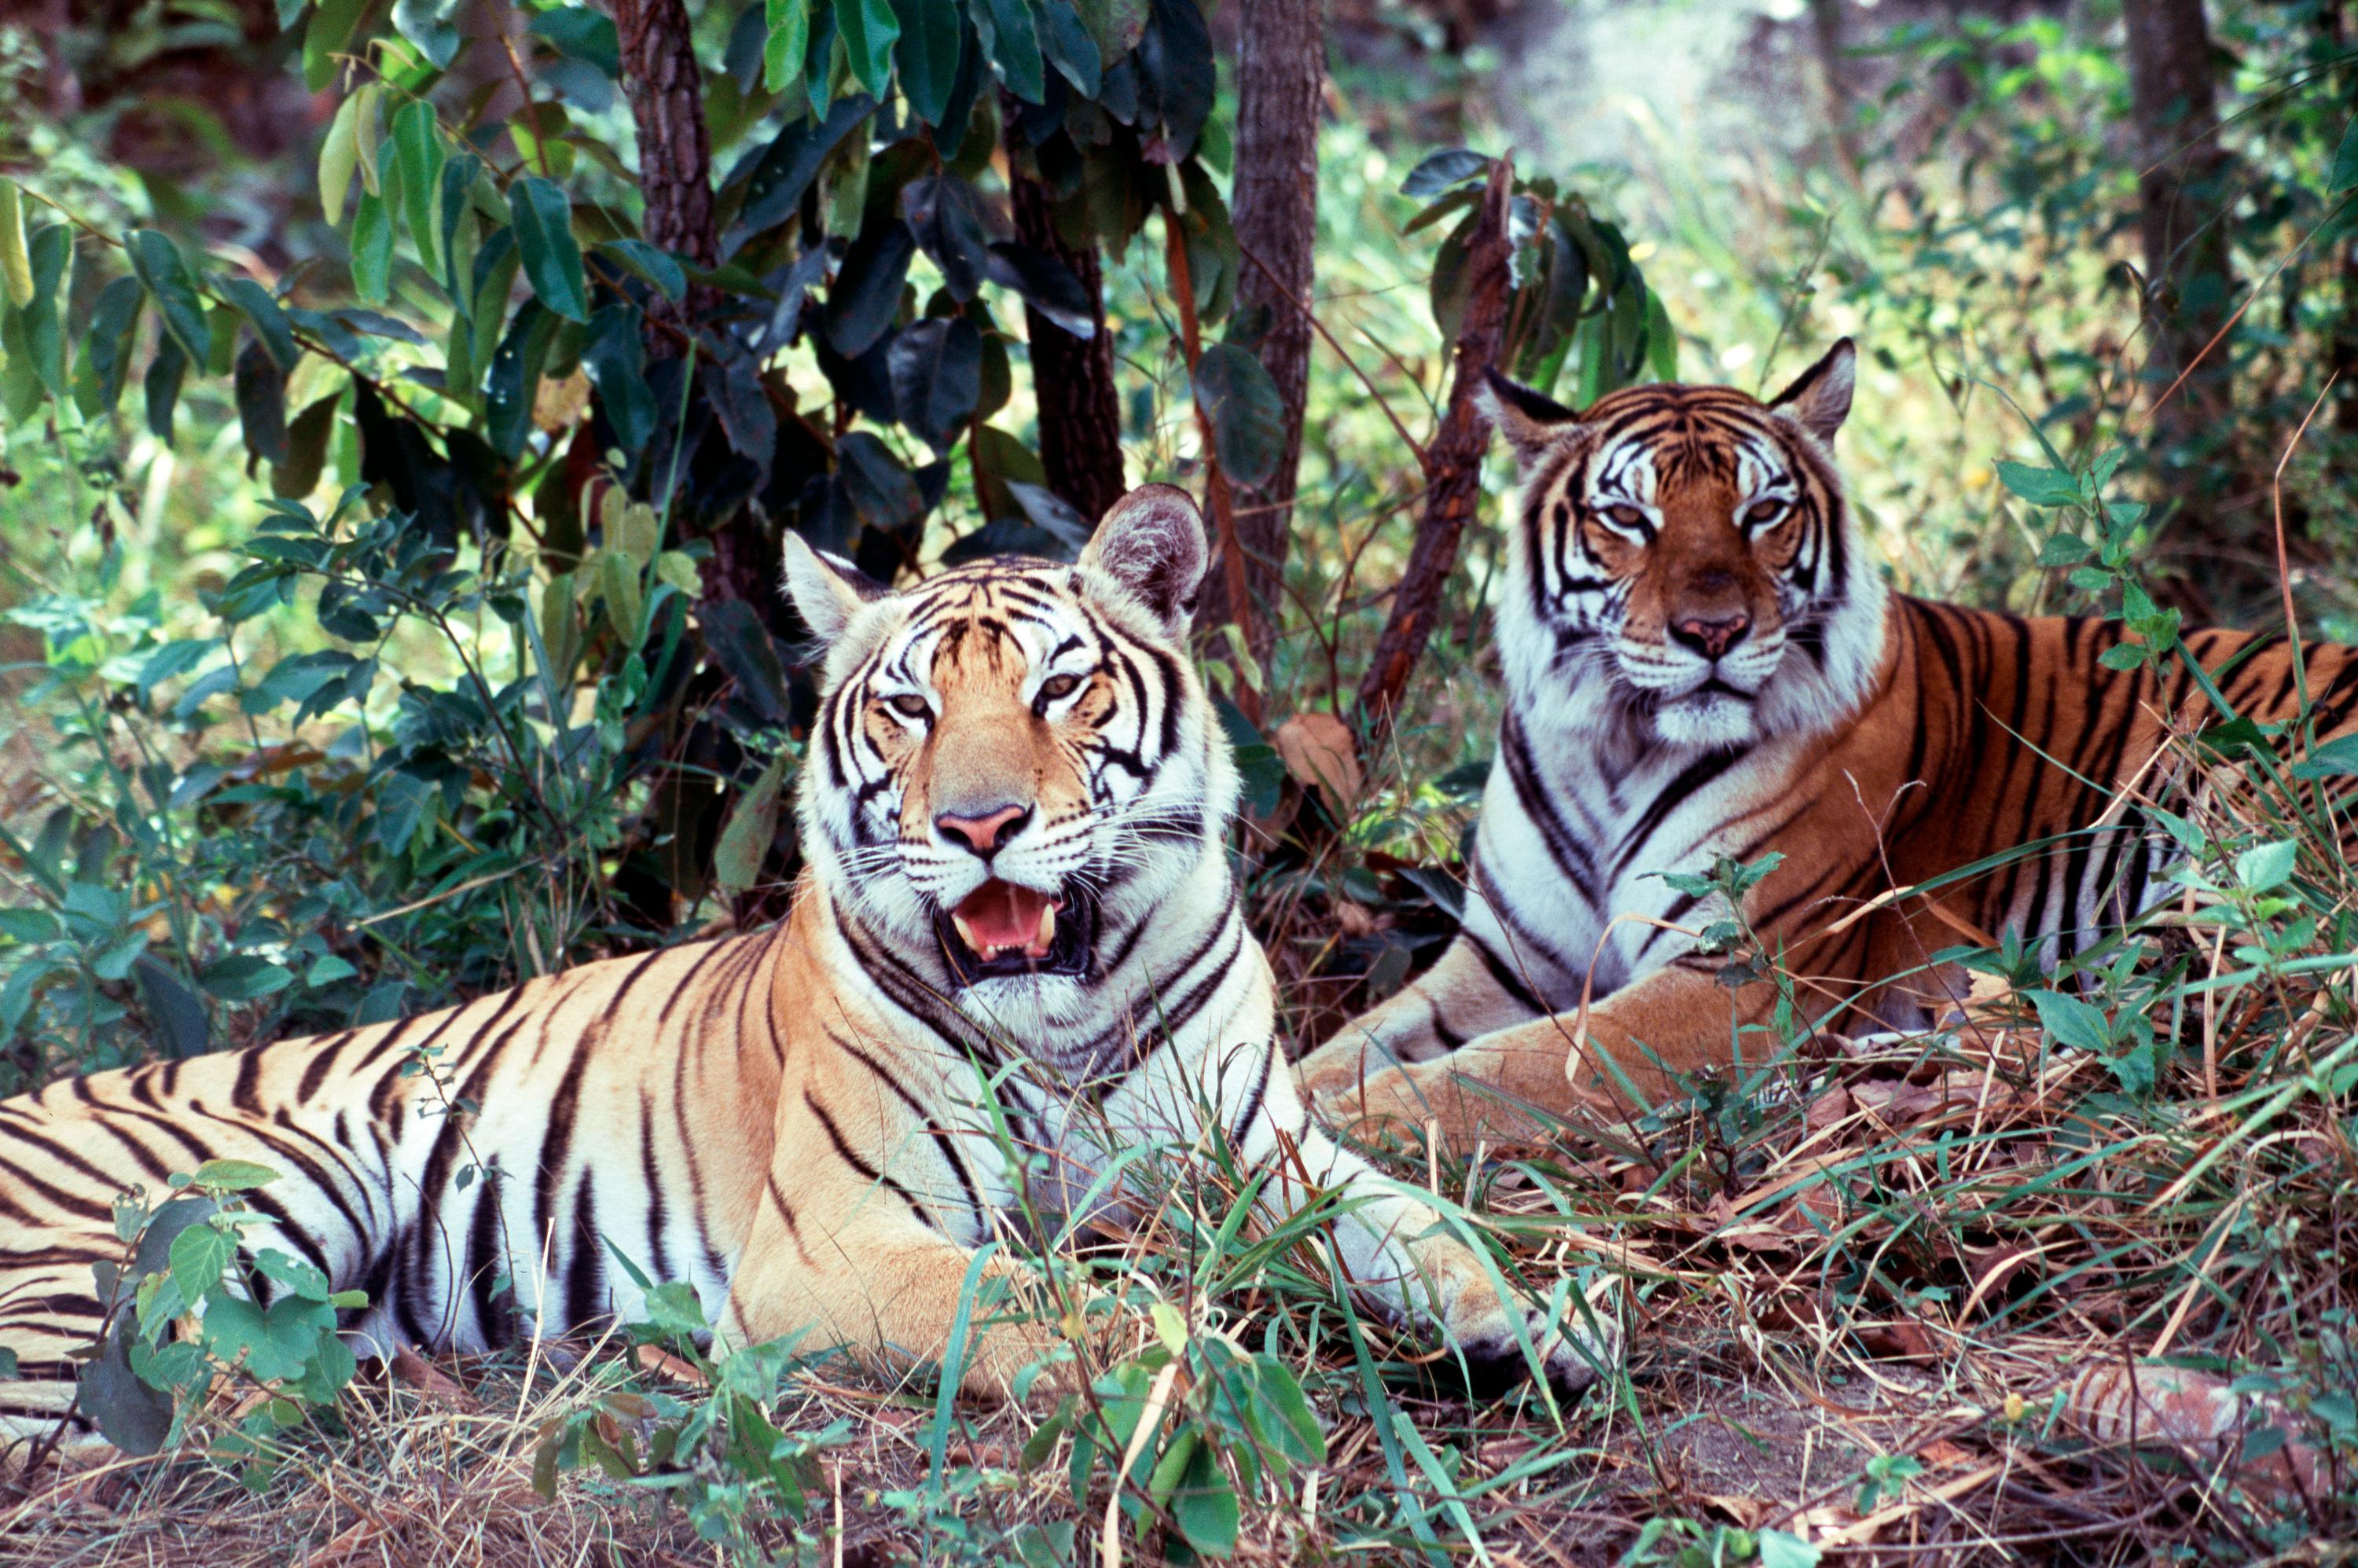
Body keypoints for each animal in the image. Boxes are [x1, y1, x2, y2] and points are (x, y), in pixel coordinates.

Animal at [0, 484, 1608, 1463]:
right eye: (908, 708)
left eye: (1058, 687)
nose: (979, 826)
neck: (1069, 1014)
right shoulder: (833, 1242)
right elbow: (1046, 1299)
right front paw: (1200, 1370)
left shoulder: (1266, 1150)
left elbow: (1426, 1226)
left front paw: (1545, 1322)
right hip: (214, 1209)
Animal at [1295, 339, 2358, 1145]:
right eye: (1627, 518)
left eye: (1763, 511)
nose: (1713, 631)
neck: (1612, 747)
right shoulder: (1501, 960)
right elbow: (1347, 1041)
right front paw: (1271, 1103)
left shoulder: (1737, 974)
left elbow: (1516, 1065)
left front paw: (1345, 1127)